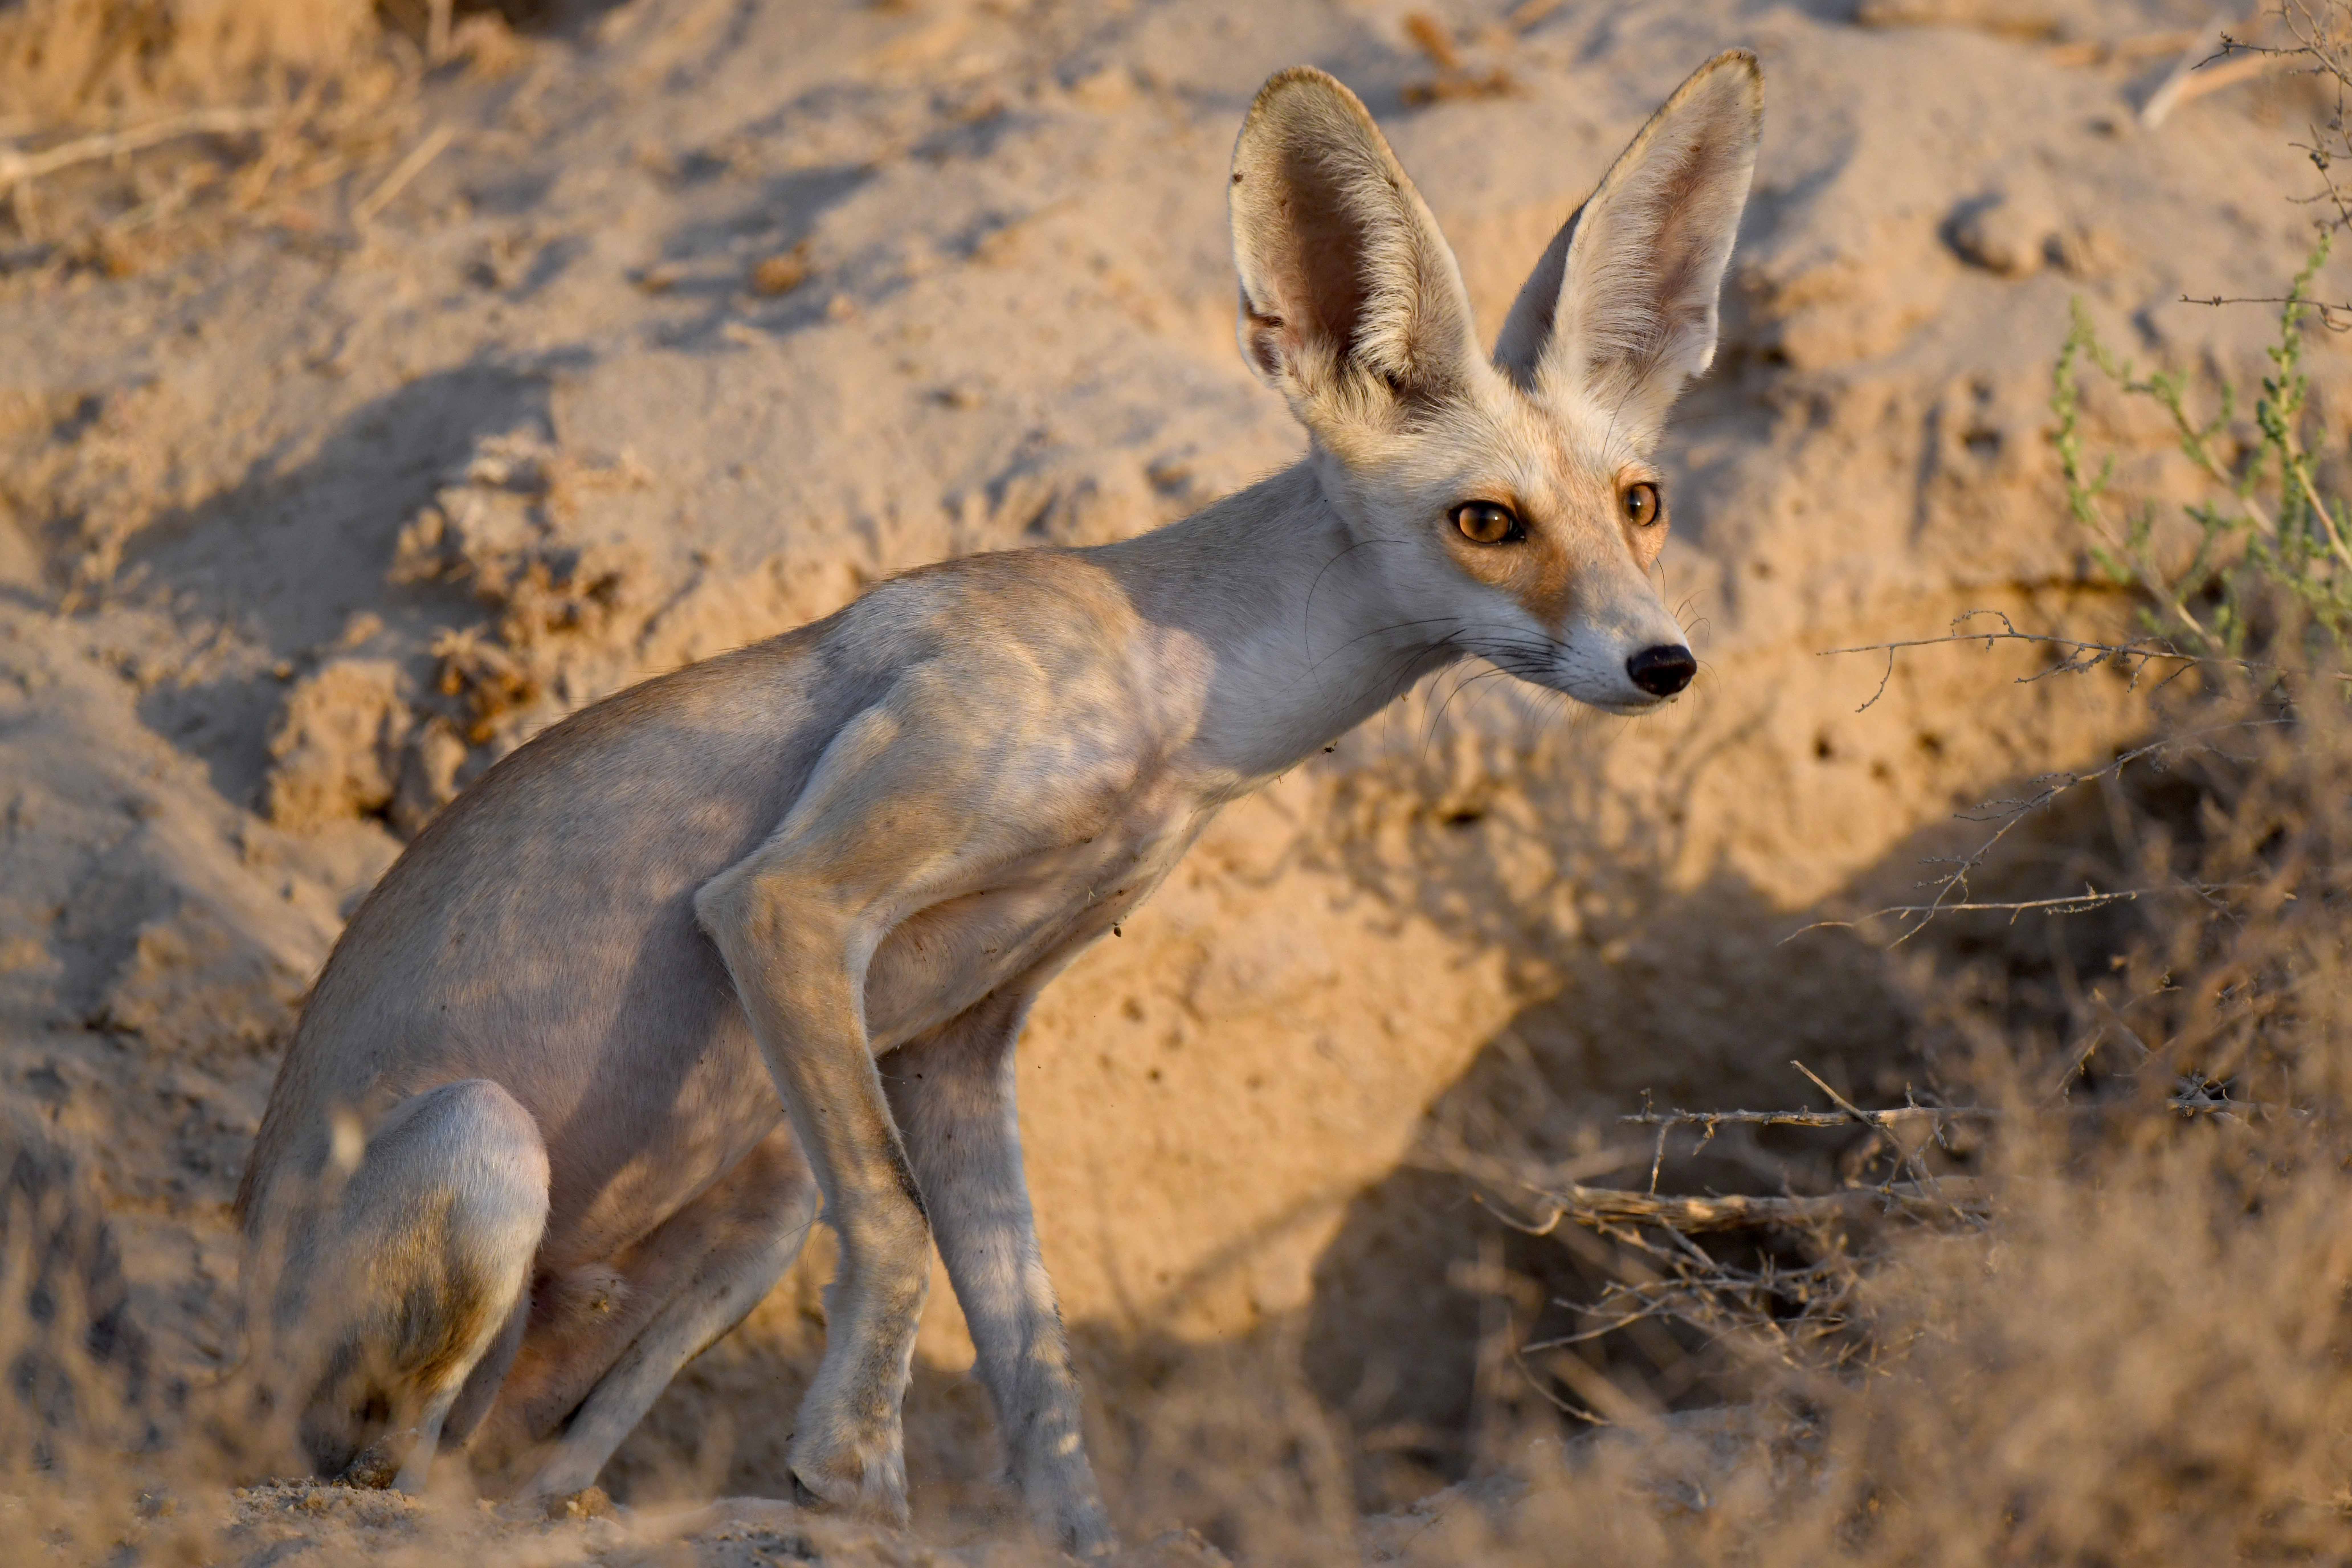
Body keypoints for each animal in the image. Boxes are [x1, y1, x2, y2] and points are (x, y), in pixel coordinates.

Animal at [233, 51, 1762, 1557]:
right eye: (1487, 523)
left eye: (1640, 503)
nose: (1663, 664)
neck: (1170, 703)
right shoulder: (789, 904)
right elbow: (904, 1232)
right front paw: (851, 1468)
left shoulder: (957, 1042)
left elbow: (1036, 1354)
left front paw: (1061, 1533)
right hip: (485, 1147)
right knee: (390, 1482)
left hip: (759, 1203)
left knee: (529, 1468)